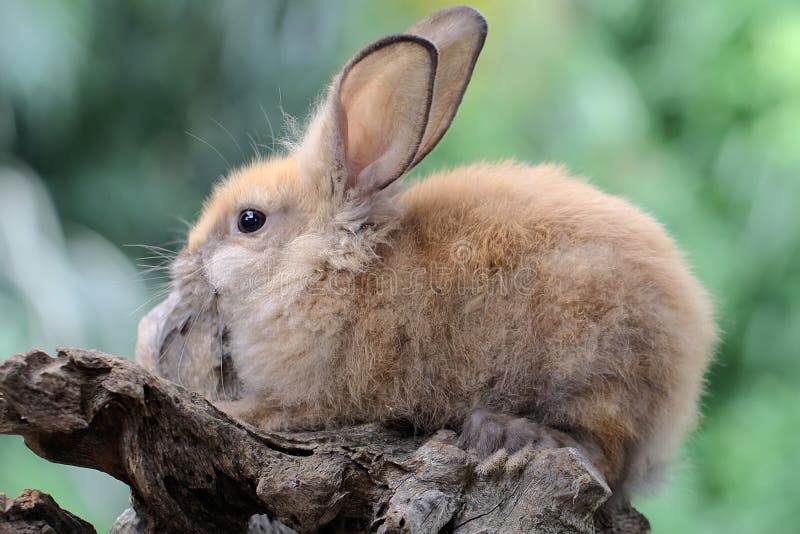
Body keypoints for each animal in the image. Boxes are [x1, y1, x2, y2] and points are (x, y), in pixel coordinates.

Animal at [136, 5, 716, 499]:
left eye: (249, 221)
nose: (183, 265)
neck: (327, 265)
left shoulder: (316, 398)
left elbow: (267, 411)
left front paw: (224, 406)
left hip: (596, 367)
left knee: (605, 455)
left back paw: (502, 432)